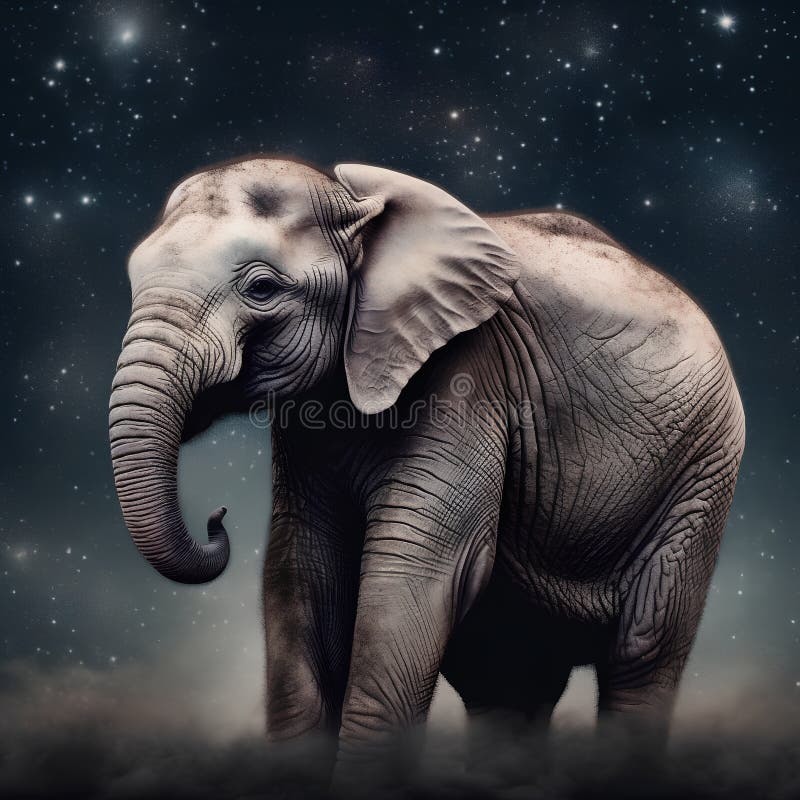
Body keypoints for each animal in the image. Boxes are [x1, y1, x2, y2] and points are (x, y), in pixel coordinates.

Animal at [109, 156, 745, 784]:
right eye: (132, 278)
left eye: (261, 288)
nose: (216, 518)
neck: (353, 208)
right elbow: (302, 572)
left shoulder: (467, 378)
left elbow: (412, 578)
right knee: (509, 680)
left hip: (703, 471)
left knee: (641, 652)